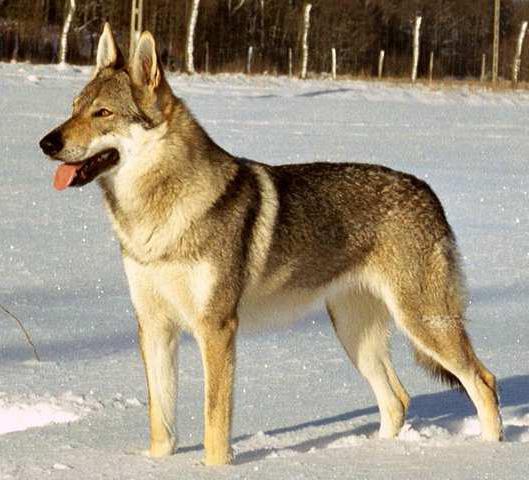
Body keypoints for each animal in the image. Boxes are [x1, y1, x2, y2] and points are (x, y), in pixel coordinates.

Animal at [39, 23, 502, 464]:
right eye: (73, 107)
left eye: (102, 112)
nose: (46, 142)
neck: (155, 218)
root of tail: (427, 191)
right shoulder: (154, 327)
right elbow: (161, 420)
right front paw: (155, 465)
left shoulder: (216, 329)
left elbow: (214, 422)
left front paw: (214, 468)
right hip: (355, 335)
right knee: (398, 400)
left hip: (423, 324)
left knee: (483, 381)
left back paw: (491, 450)